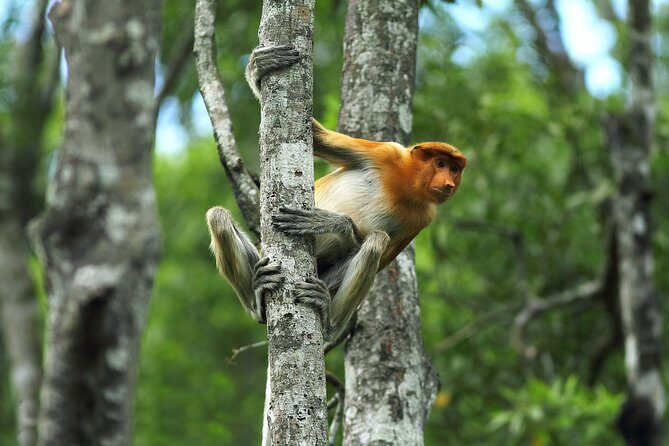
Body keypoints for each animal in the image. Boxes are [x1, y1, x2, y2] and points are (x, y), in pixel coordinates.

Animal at [206, 44, 466, 343]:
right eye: (440, 163)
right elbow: (319, 138)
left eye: (455, 168)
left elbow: (374, 253)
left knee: (375, 243)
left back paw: (328, 318)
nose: (448, 184)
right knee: (218, 217)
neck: (405, 184)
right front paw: (260, 66)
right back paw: (258, 298)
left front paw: (329, 223)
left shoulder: (422, 218)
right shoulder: (385, 153)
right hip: (261, 255)